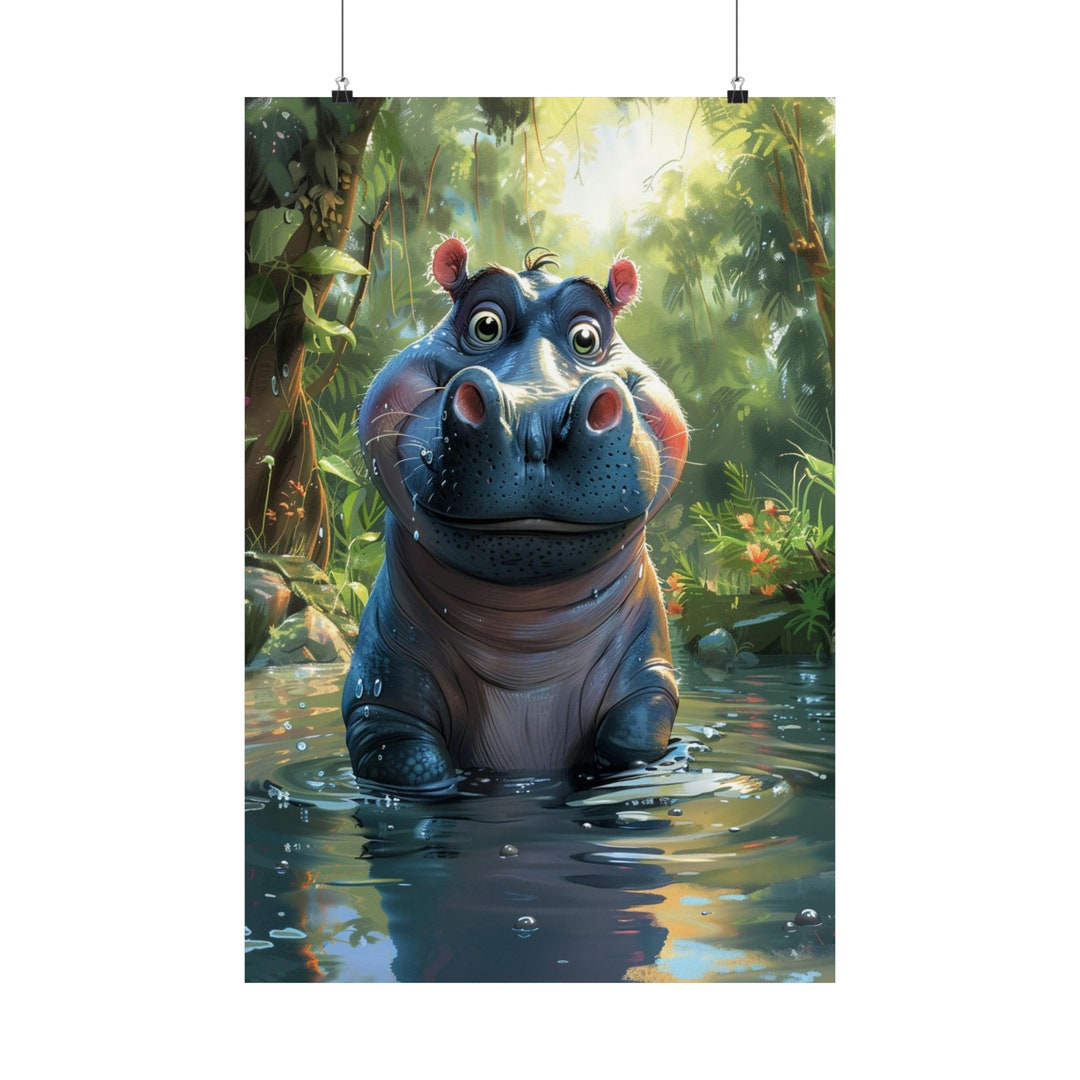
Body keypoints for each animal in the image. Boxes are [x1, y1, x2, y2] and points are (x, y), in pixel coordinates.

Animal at [341, 238, 688, 795]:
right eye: (485, 325)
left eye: (587, 337)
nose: (535, 418)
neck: (527, 644)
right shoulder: (379, 702)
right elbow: (411, 763)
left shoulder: (650, 684)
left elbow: (632, 738)